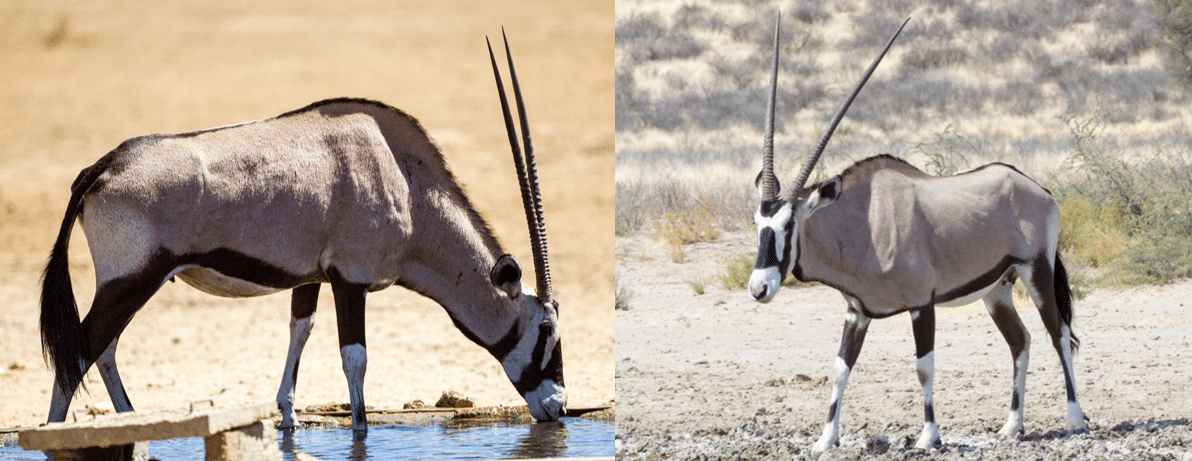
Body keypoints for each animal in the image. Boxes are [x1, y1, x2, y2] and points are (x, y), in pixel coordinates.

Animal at [39, 33, 565, 436]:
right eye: (545, 329)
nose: (558, 406)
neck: (406, 180)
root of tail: (101, 167)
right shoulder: (350, 279)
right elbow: (355, 358)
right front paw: (360, 430)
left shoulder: (310, 277)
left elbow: (300, 331)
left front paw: (288, 418)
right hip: (131, 281)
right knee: (79, 353)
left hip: (129, 287)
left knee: (103, 350)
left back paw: (130, 424)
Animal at [748, 17, 1087, 453]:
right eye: (758, 223)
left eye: (789, 225)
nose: (759, 288)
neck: (863, 223)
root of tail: (1038, 188)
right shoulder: (857, 311)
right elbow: (840, 368)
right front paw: (825, 440)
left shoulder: (921, 304)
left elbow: (923, 366)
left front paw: (929, 437)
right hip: (998, 288)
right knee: (1021, 341)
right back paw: (1011, 426)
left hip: (1037, 271)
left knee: (1059, 335)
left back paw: (1076, 420)